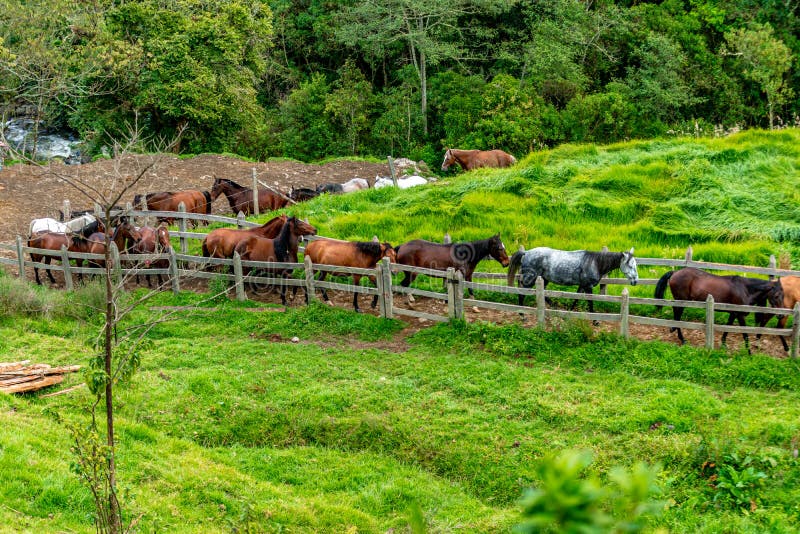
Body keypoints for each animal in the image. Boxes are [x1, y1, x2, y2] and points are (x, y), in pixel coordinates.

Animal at [507, 247, 638, 313]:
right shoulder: (588, 286)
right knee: (522, 294)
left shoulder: (582, 285)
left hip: (543, 279)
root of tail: (526, 252)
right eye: (630, 265)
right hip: (530, 279)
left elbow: (576, 298)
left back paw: (553, 306)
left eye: (635, 264)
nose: (636, 281)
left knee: (543, 294)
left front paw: (570, 311)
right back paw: (522, 313)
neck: (595, 263)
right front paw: (595, 321)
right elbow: (590, 302)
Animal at [654, 267, 783, 352]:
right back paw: (682, 338)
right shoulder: (740, 315)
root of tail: (675, 272)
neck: (745, 289)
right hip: (681, 301)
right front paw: (749, 352)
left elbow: (727, 327)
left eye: (784, 295)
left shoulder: (733, 313)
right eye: (776, 295)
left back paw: (674, 329)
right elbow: (745, 334)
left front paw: (723, 344)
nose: (781, 315)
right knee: (677, 315)